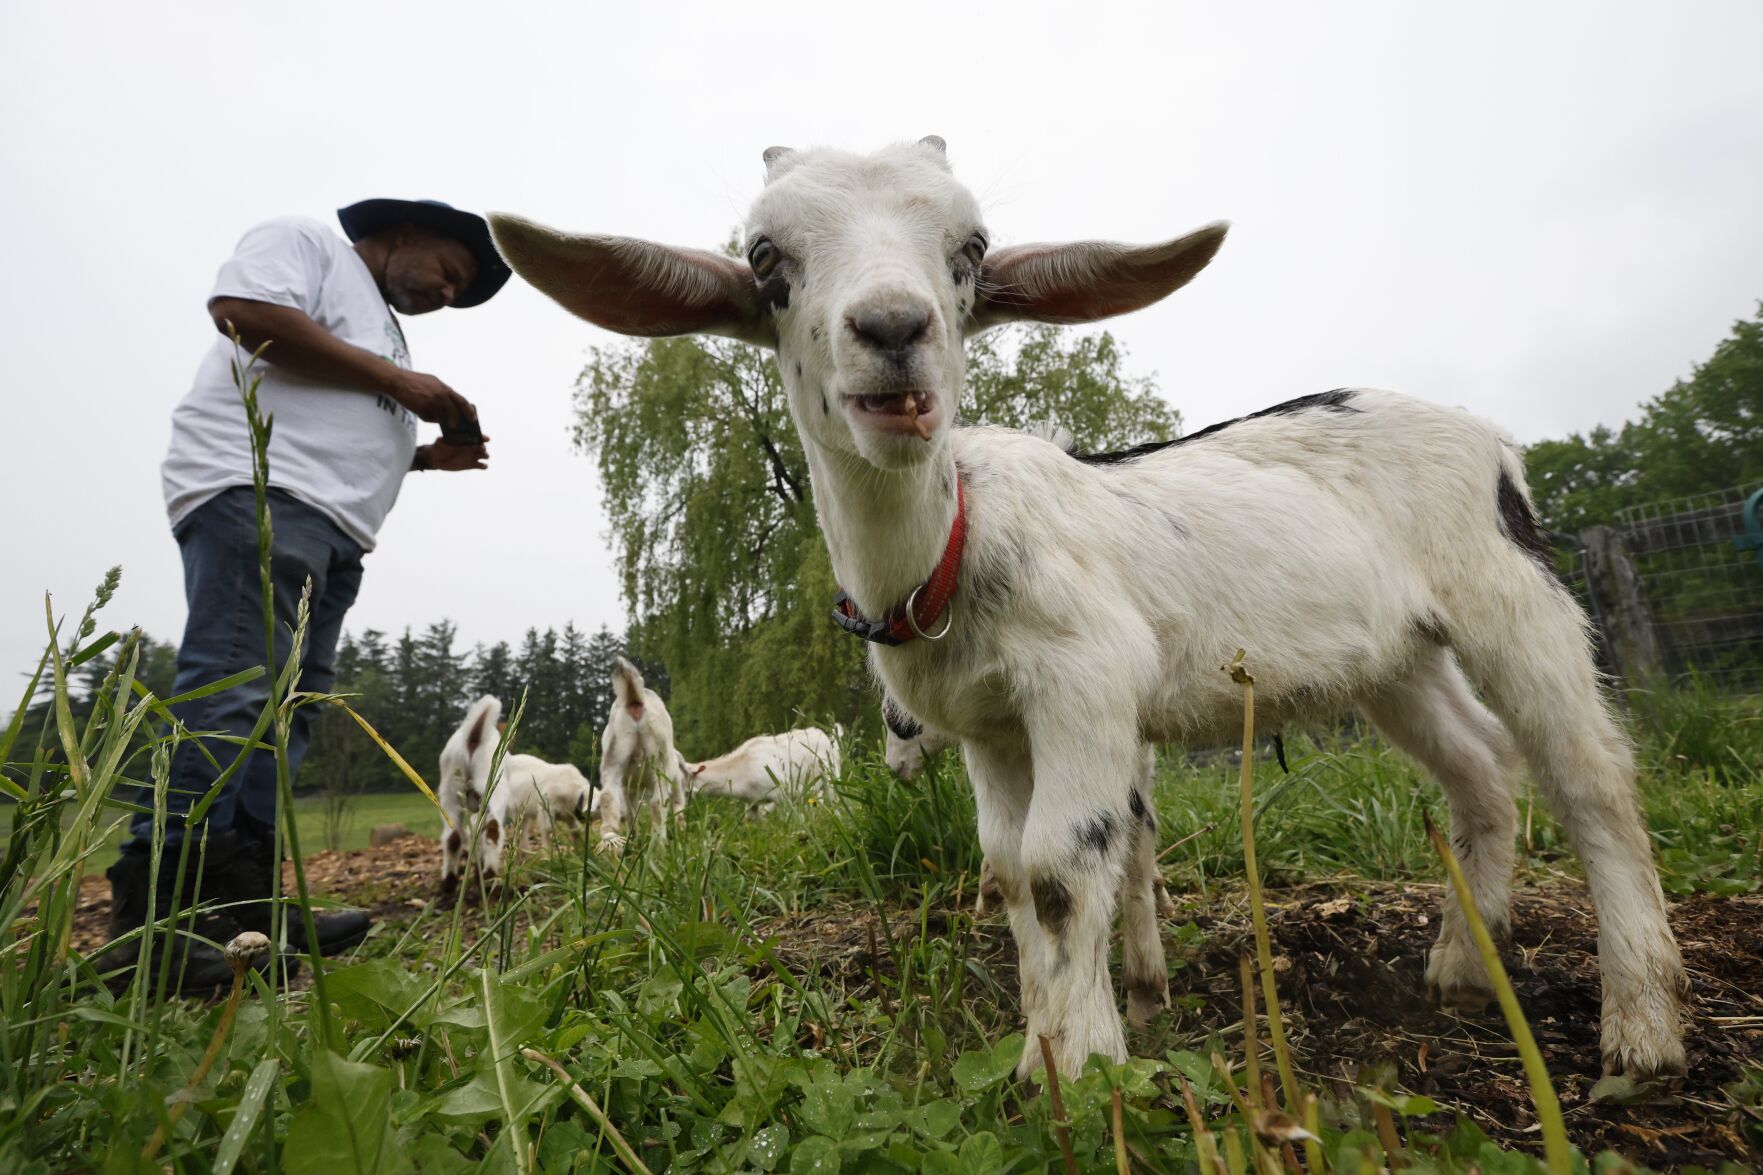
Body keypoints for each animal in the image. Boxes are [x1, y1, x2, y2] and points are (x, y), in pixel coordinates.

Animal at [596, 656, 687, 854]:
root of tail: (634, 701)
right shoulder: (675, 781)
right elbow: (678, 807)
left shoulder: (628, 788)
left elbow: (631, 812)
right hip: (660, 760)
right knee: (657, 803)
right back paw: (659, 846)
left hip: (614, 753)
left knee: (607, 796)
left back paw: (613, 844)